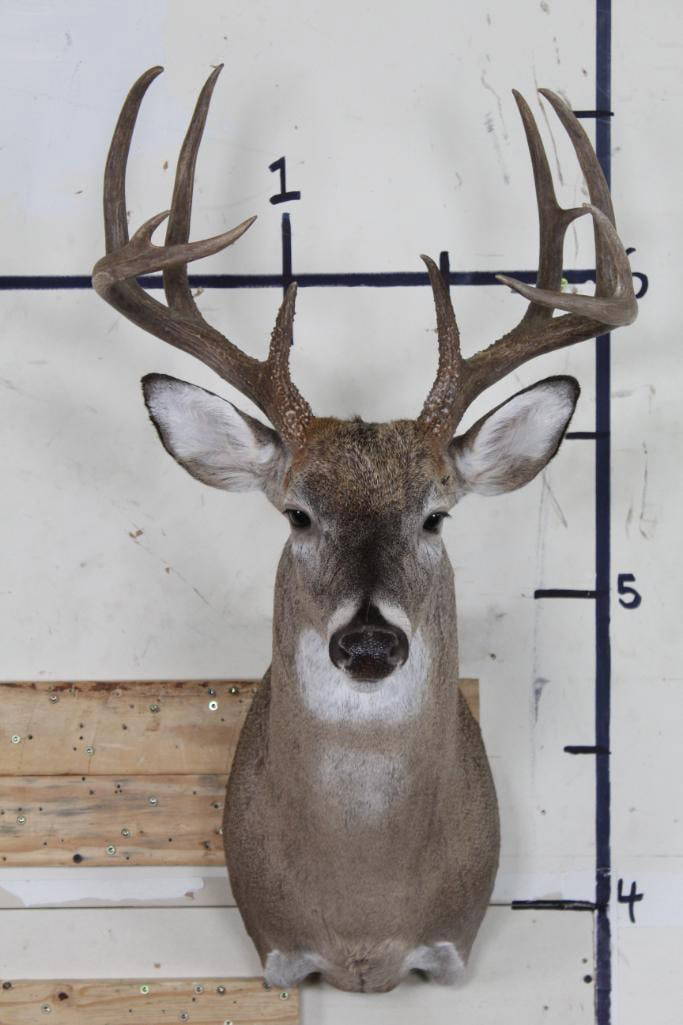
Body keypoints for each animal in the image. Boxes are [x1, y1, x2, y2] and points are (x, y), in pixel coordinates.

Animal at [92, 66, 637, 994]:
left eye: (435, 513)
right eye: (297, 511)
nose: (371, 642)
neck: (362, 925)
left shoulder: (452, 948)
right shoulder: (276, 948)